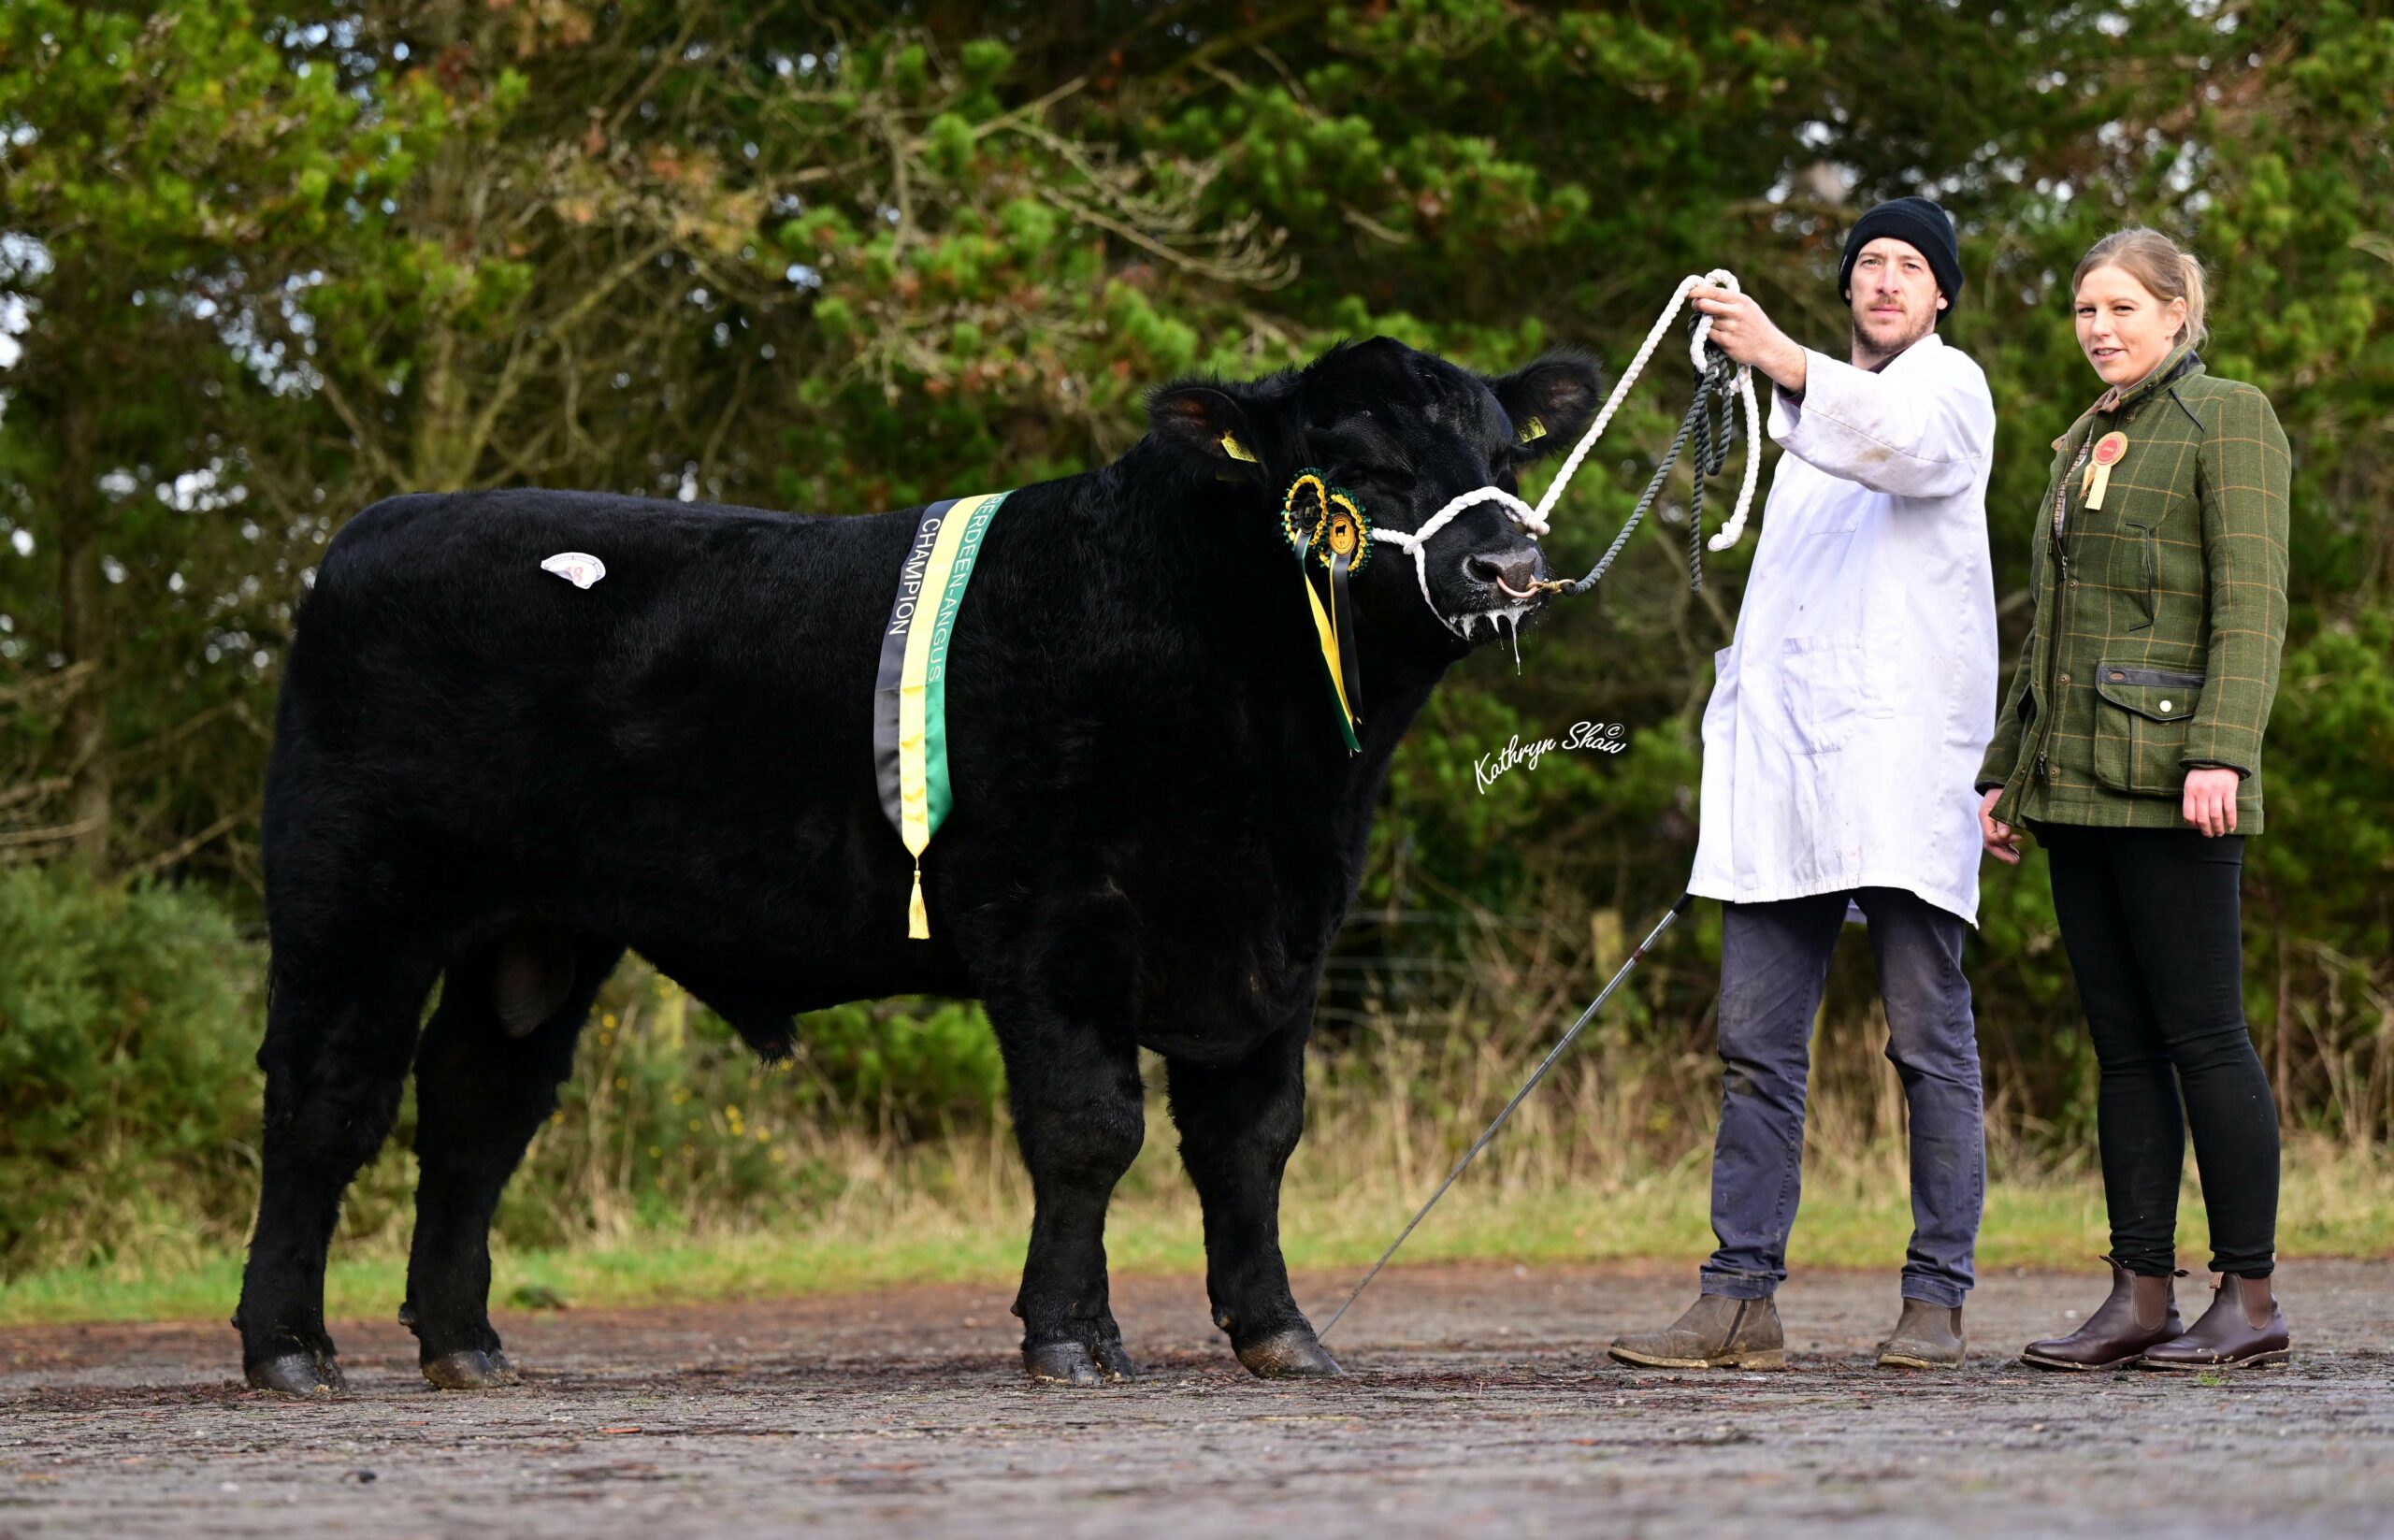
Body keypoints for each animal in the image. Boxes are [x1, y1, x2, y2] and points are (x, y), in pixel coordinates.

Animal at [233, 335, 1603, 1394]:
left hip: (537, 931)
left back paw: (462, 1343)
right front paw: (1072, 1336)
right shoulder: (1054, 914)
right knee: (324, 1104)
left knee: (474, 1109)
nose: (1509, 567)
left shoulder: (1281, 930)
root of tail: (391, 518)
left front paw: (1280, 1331)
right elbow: (1088, 1128)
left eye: (1507, 462)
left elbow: (1252, 1141)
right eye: (1363, 466)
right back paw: (289, 1347)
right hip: (352, 899)